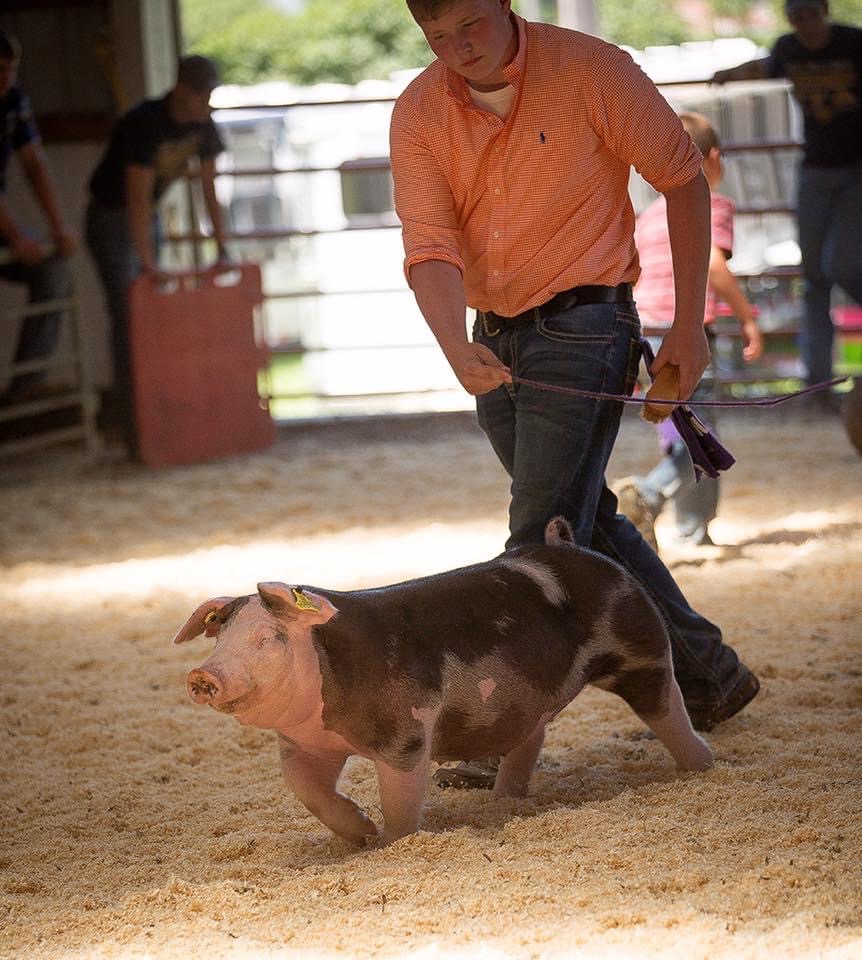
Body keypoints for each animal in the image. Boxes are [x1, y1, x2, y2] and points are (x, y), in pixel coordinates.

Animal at [174, 517, 713, 846]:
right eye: (219, 638)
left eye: (267, 638)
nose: (203, 675)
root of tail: (571, 546)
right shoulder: (307, 745)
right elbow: (307, 790)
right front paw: (362, 834)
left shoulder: (406, 733)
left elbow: (401, 798)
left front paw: (392, 844)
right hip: (526, 702)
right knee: (529, 738)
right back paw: (503, 801)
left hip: (641, 651)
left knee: (668, 708)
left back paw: (703, 770)